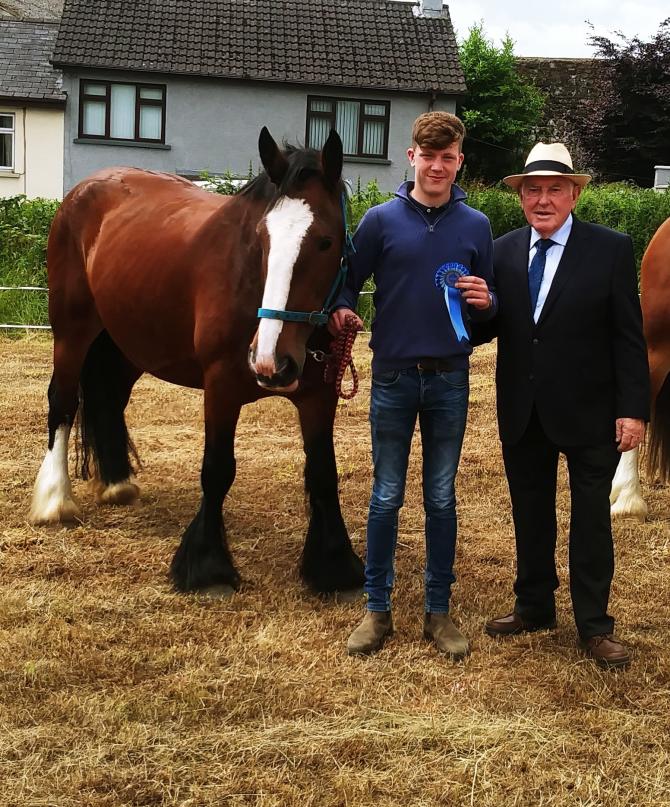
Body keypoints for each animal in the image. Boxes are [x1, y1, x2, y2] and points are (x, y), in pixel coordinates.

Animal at [29, 127, 365, 598]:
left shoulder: (319, 395)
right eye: (261, 239)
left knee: (108, 397)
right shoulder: (221, 386)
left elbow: (322, 472)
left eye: (326, 241)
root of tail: (83, 190)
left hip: (129, 342)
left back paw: (117, 484)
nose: (270, 362)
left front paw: (334, 566)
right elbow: (217, 469)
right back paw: (55, 501)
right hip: (72, 329)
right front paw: (207, 567)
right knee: (62, 400)